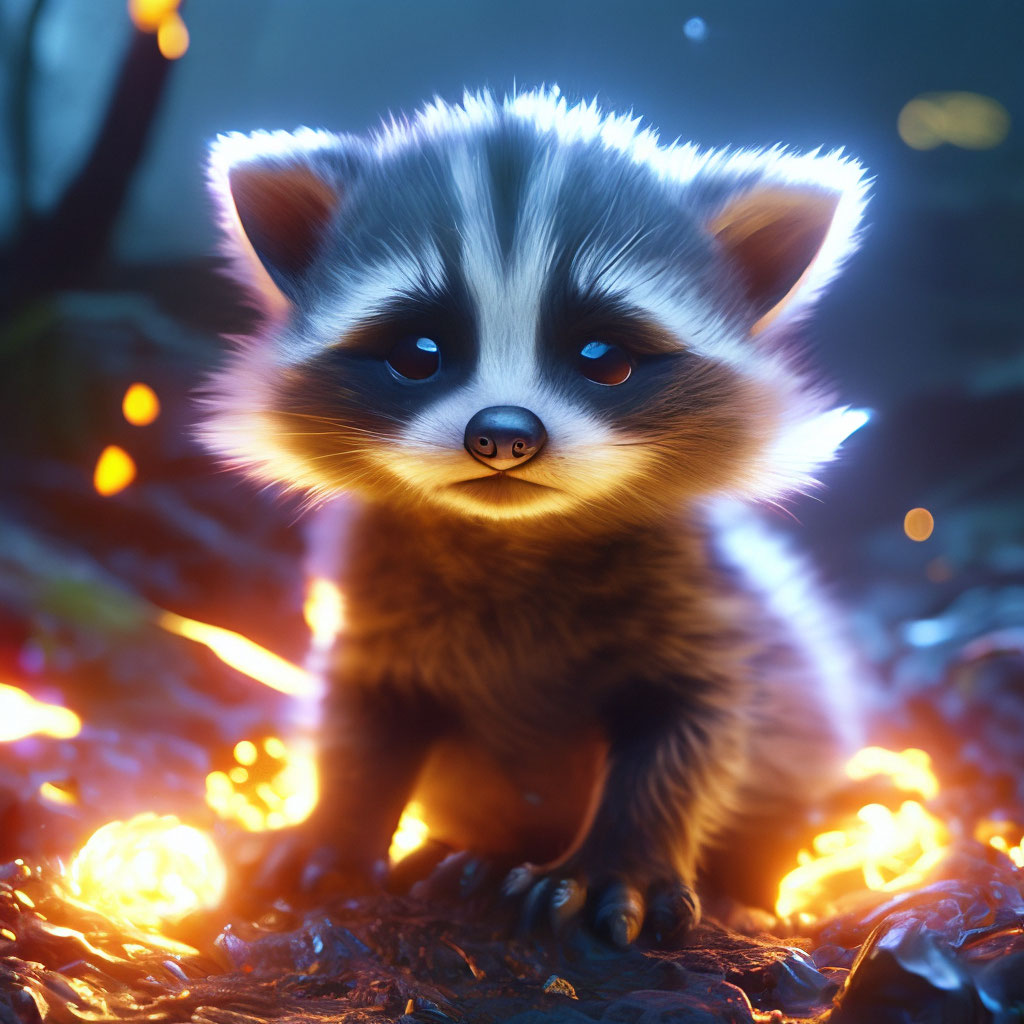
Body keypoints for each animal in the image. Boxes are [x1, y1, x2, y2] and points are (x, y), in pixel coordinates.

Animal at [203, 87, 869, 945]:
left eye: (604, 359)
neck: (513, 538)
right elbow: (362, 723)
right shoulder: (374, 612)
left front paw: (620, 862)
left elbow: (691, 730)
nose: (504, 433)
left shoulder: (708, 607)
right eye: (417, 354)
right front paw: (332, 831)